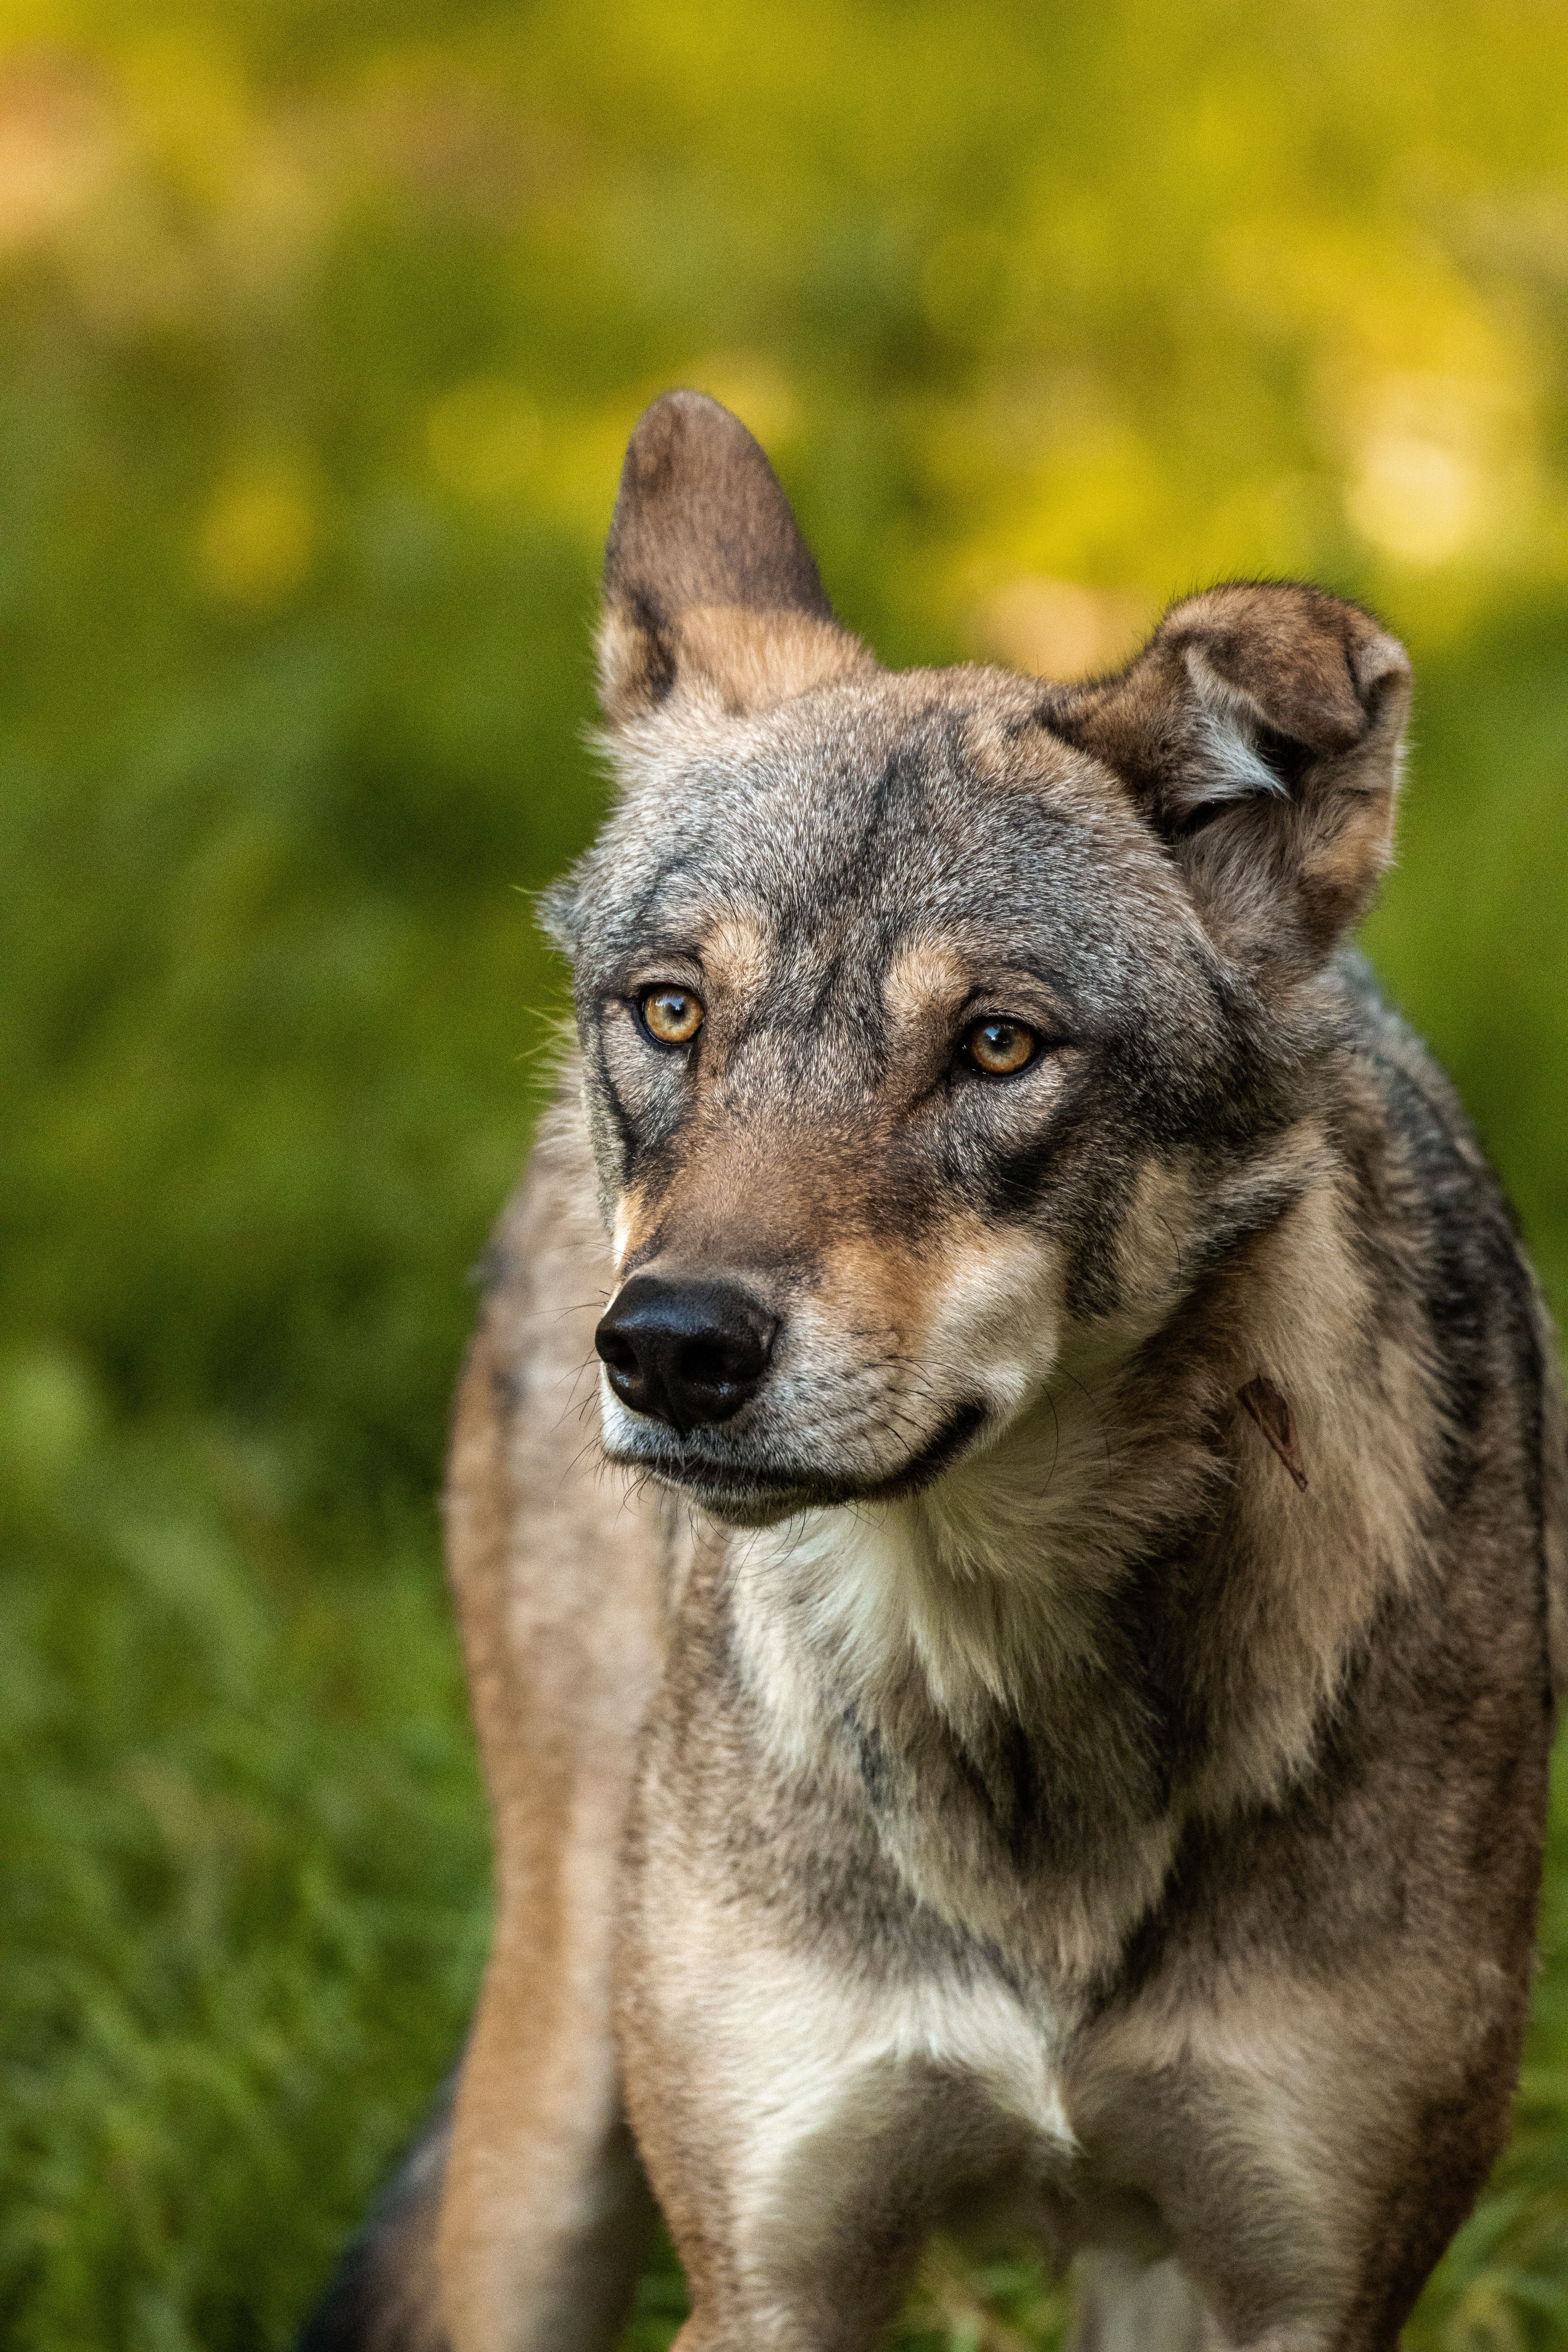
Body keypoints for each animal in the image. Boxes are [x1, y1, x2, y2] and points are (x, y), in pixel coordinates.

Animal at [302, 391, 1566, 2352]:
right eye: (673, 1014)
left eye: (994, 1048)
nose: (671, 1349)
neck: (1011, 1709)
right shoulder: (768, 2284)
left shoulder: (1301, 2284)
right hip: (554, 2126)